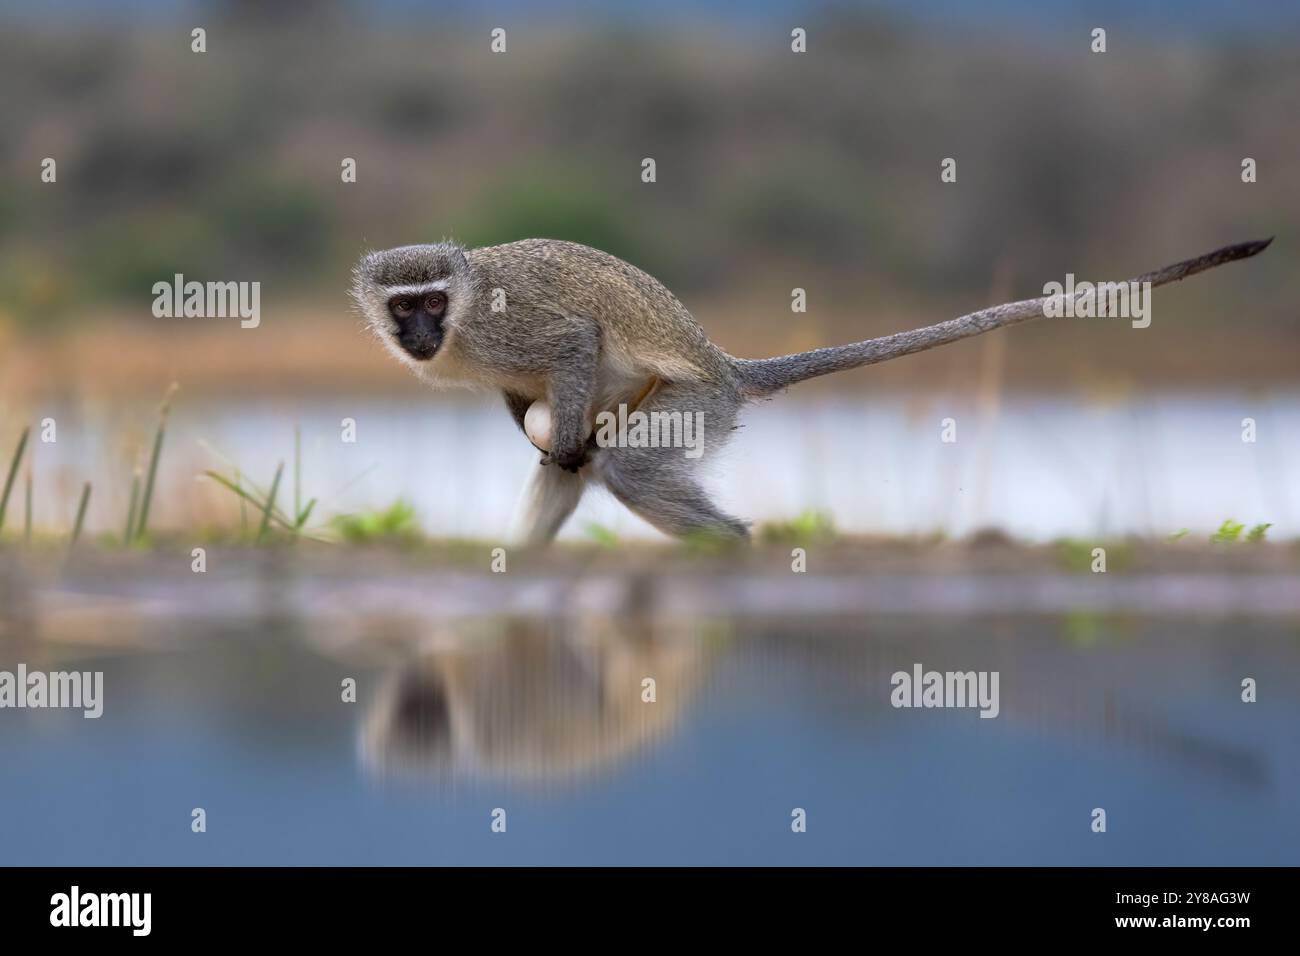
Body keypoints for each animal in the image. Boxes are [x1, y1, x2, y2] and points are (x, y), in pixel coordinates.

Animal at [351, 236, 1271, 544]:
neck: (462, 319)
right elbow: (532, 415)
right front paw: (532, 429)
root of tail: (727, 367)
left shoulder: (506, 330)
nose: (421, 334)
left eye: (432, 302)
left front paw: (560, 431)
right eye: (405, 306)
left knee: (629, 470)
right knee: (574, 475)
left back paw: (730, 547)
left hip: (696, 404)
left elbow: (575, 343)